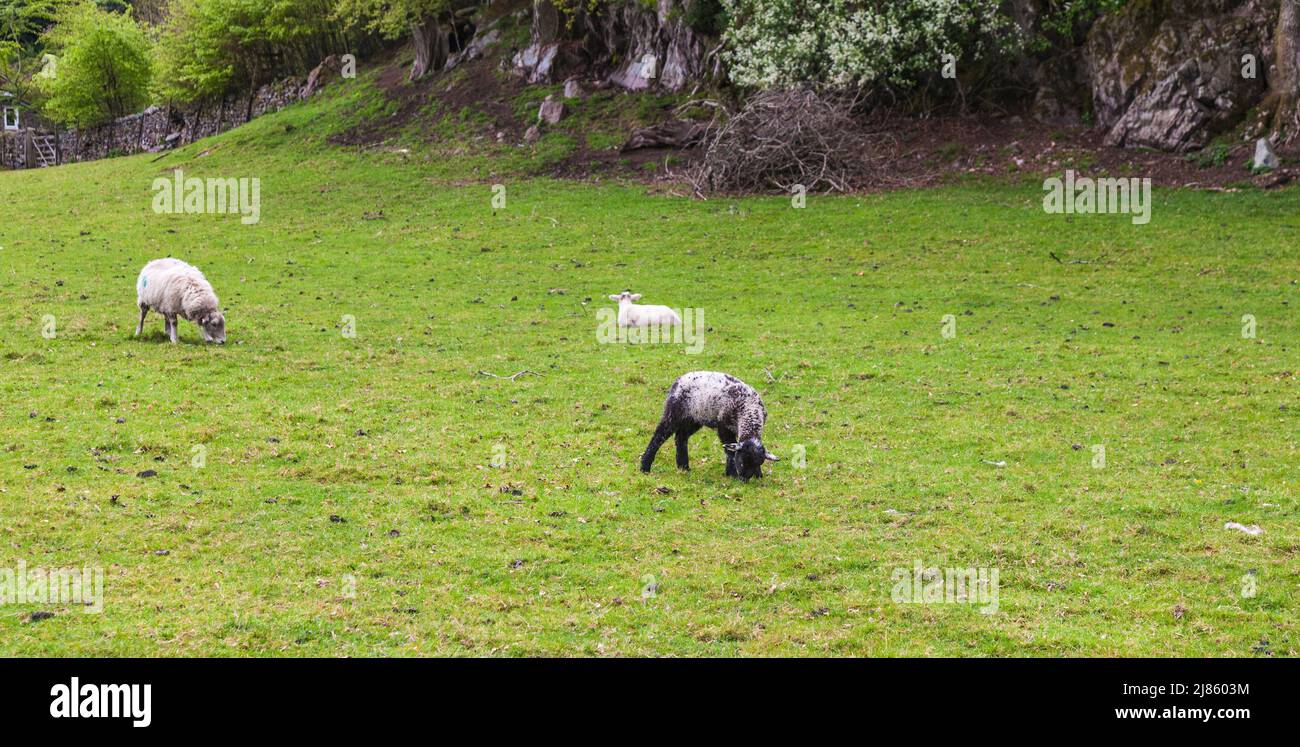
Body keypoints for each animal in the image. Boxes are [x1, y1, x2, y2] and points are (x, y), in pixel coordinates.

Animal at [640, 371, 779, 481]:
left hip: (694, 418)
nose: (744, 480)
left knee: (681, 437)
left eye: (758, 463)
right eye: (742, 462)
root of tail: (679, 380)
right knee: (659, 435)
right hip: (674, 412)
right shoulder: (723, 426)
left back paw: (683, 467)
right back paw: (645, 466)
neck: (749, 411)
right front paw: (731, 473)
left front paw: (758, 475)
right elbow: (729, 450)